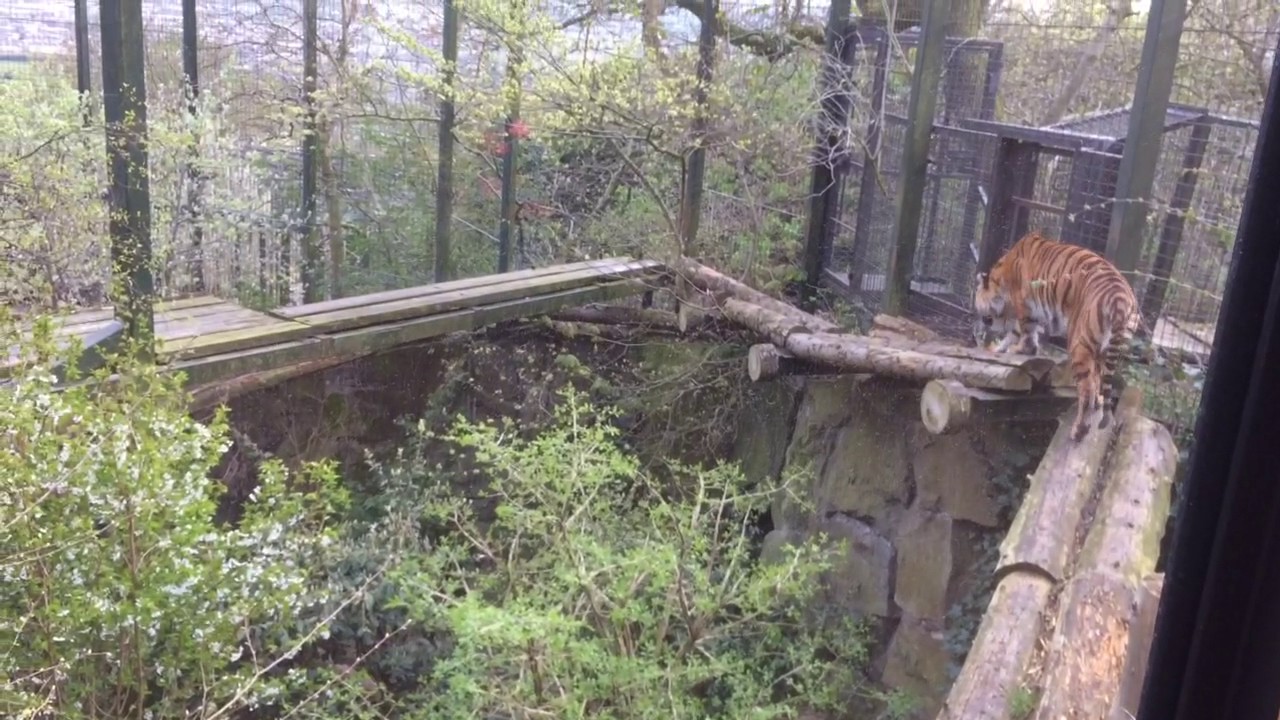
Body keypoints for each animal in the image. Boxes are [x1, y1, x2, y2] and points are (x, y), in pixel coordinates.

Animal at [972, 231, 1141, 442]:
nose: (978, 322)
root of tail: (1120, 298)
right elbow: (1017, 332)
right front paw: (1000, 348)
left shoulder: (1024, 304)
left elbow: (1023, 333)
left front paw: (1019, 349)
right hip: (1109, 349)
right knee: (1098, 380)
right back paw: (1098, 402)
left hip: (1079, 342)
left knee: (1086, 388)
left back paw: (1078, 430)